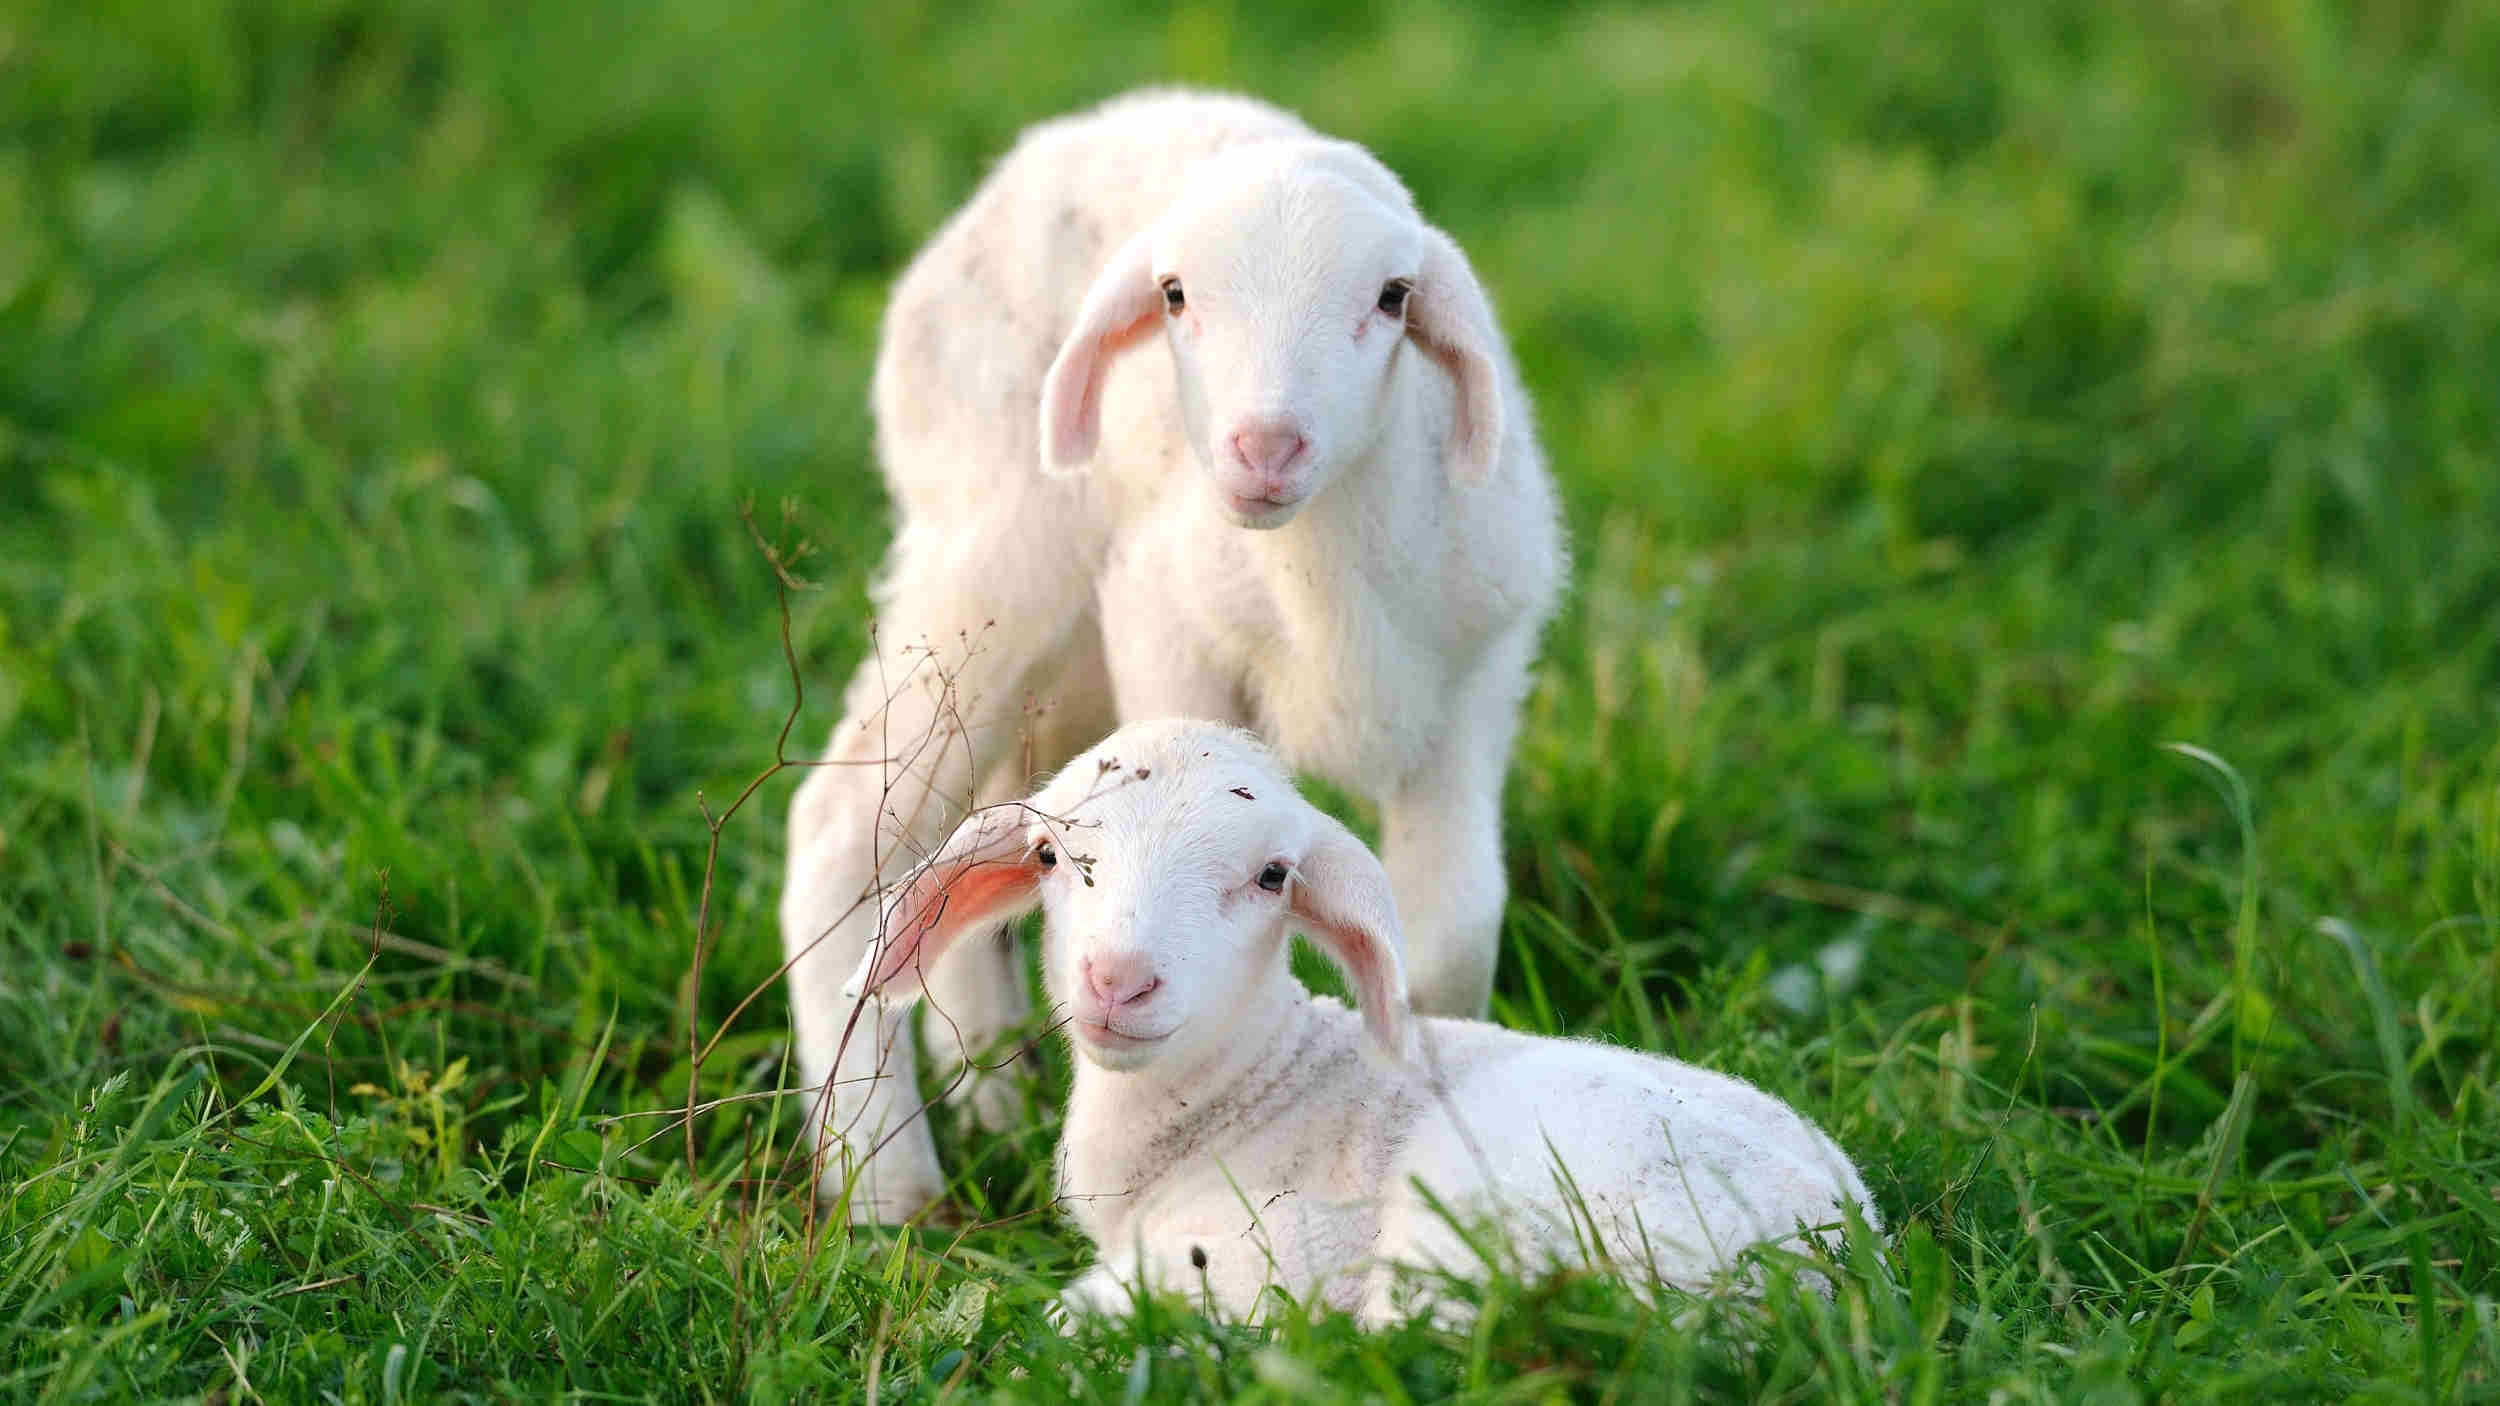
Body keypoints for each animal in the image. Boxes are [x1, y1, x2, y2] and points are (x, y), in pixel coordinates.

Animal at [779, 89, 1564, 1219]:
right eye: (1176, 295)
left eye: (1391, 297)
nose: (1263, 448)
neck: (1323, 577)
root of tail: (1068, 133)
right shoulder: (1164, 624)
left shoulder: (1469, 690)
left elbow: (1452, 937)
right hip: (994, 551)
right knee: (844, 818)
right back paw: (882, 1182)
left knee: (971, 818)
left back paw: (992, 1093)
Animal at [844, 720, 1880, 1324]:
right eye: (1050, 855)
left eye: (1273, 876)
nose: (1118, 981)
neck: (1253, 1092)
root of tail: (1826, 1260)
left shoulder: (1264, 1254)